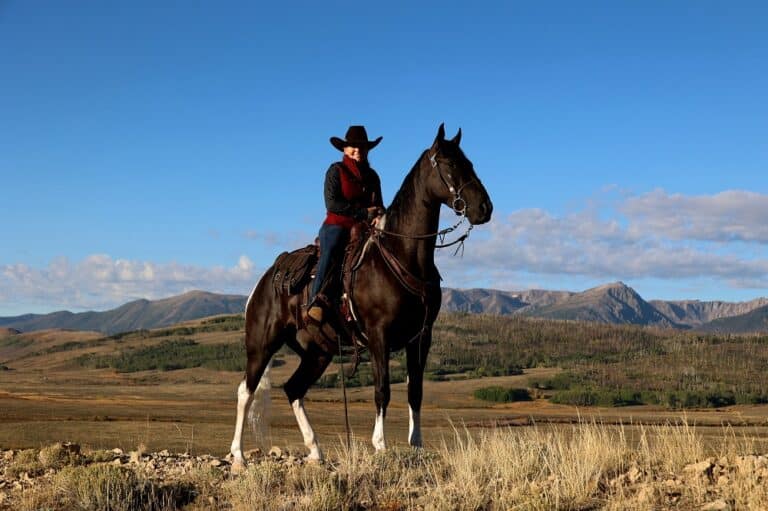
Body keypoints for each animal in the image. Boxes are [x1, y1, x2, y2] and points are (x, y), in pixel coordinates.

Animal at [230, 124, 493, 469]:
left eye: (469, 162)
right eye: (449, 165)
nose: (484, 209)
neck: (402, 254)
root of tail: (263, 281)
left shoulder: (421, 337)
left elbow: (416, 391)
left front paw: (417, 445)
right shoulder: (379, 334)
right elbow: (382, 389)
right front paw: (380, 444)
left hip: (318, 352)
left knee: (293, 389)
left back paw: (315, 450)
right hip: (262, 343)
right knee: (245, 391)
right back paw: (238, 455)